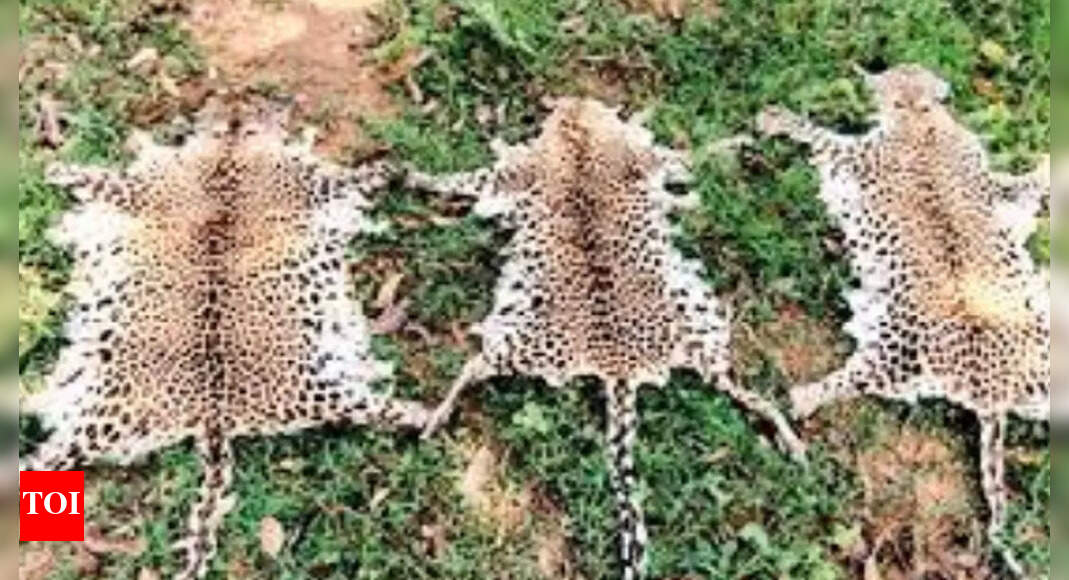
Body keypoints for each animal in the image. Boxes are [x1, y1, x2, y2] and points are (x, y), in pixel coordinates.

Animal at [407, 96, 806, 580]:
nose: (569, 101)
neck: (579, 138)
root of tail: (617, 365)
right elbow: (691, 154)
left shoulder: (517, 173)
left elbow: (464, 178)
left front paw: (418, 175)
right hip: (699, 337)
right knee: (748, 394)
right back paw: (792, 440)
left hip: (519, 337)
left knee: (471, 367)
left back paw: (432, 417)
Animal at [757, 64, 1049, 575]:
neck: (920, 116)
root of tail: (993, 391)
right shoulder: (994, 184)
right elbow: (1024, 185)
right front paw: (1051, 168)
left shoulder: (855, 155)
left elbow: (818, 133)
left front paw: (779, 119)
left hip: (898, 346)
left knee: (857, 376)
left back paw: (803, 397)